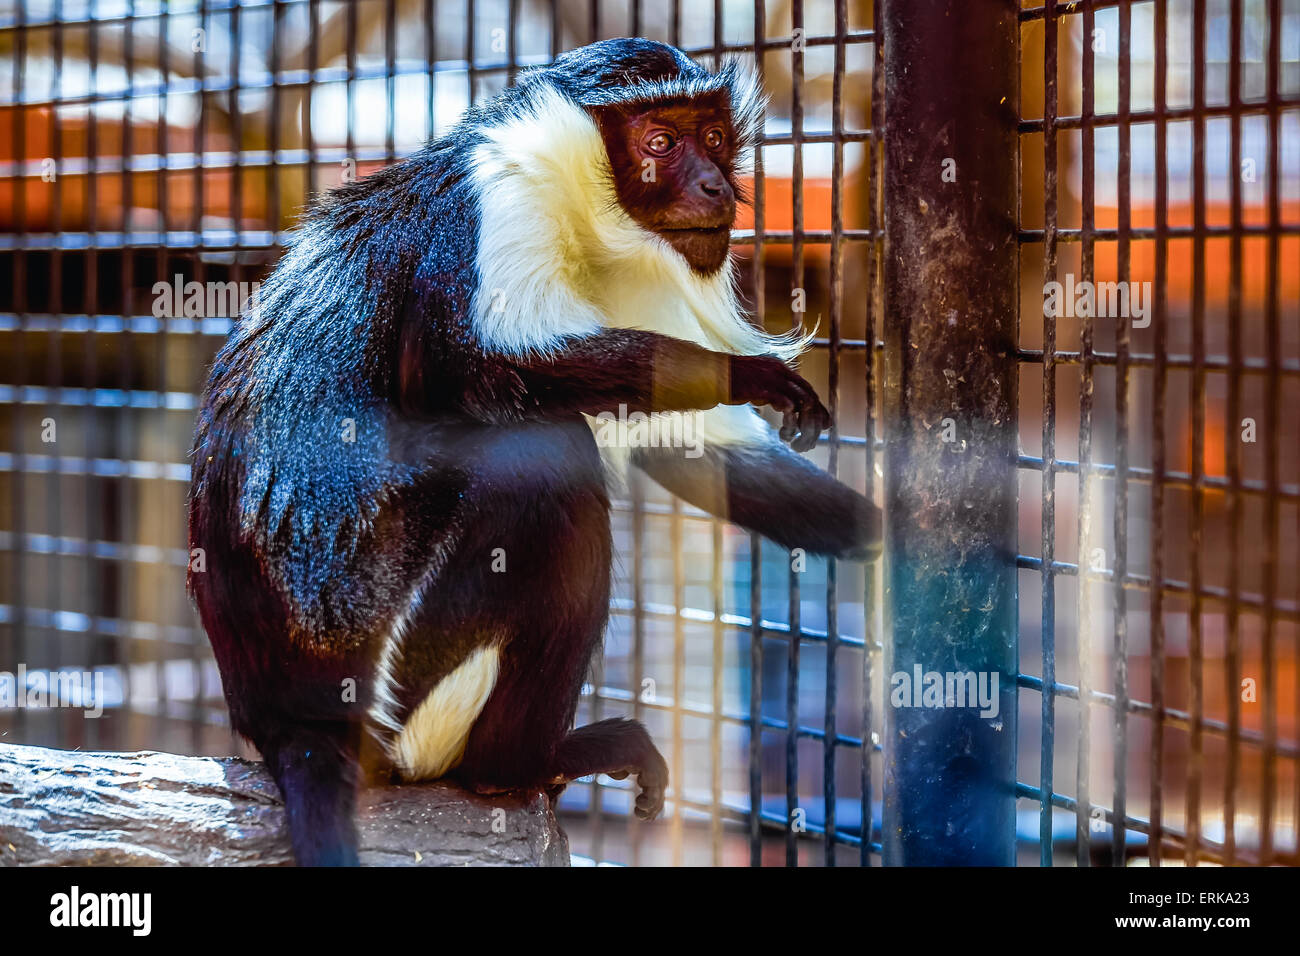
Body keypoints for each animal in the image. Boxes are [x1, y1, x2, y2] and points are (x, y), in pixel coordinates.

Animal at [188, 37, 881, 866]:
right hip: (402, 682)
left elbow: (687, 447)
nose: (715, 186)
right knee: (546, 459)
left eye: (714, 137)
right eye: (659, 143)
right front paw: (750, 373)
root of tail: (291, 724)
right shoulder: (499, 204)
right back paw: (515, 763)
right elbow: (494, 373)